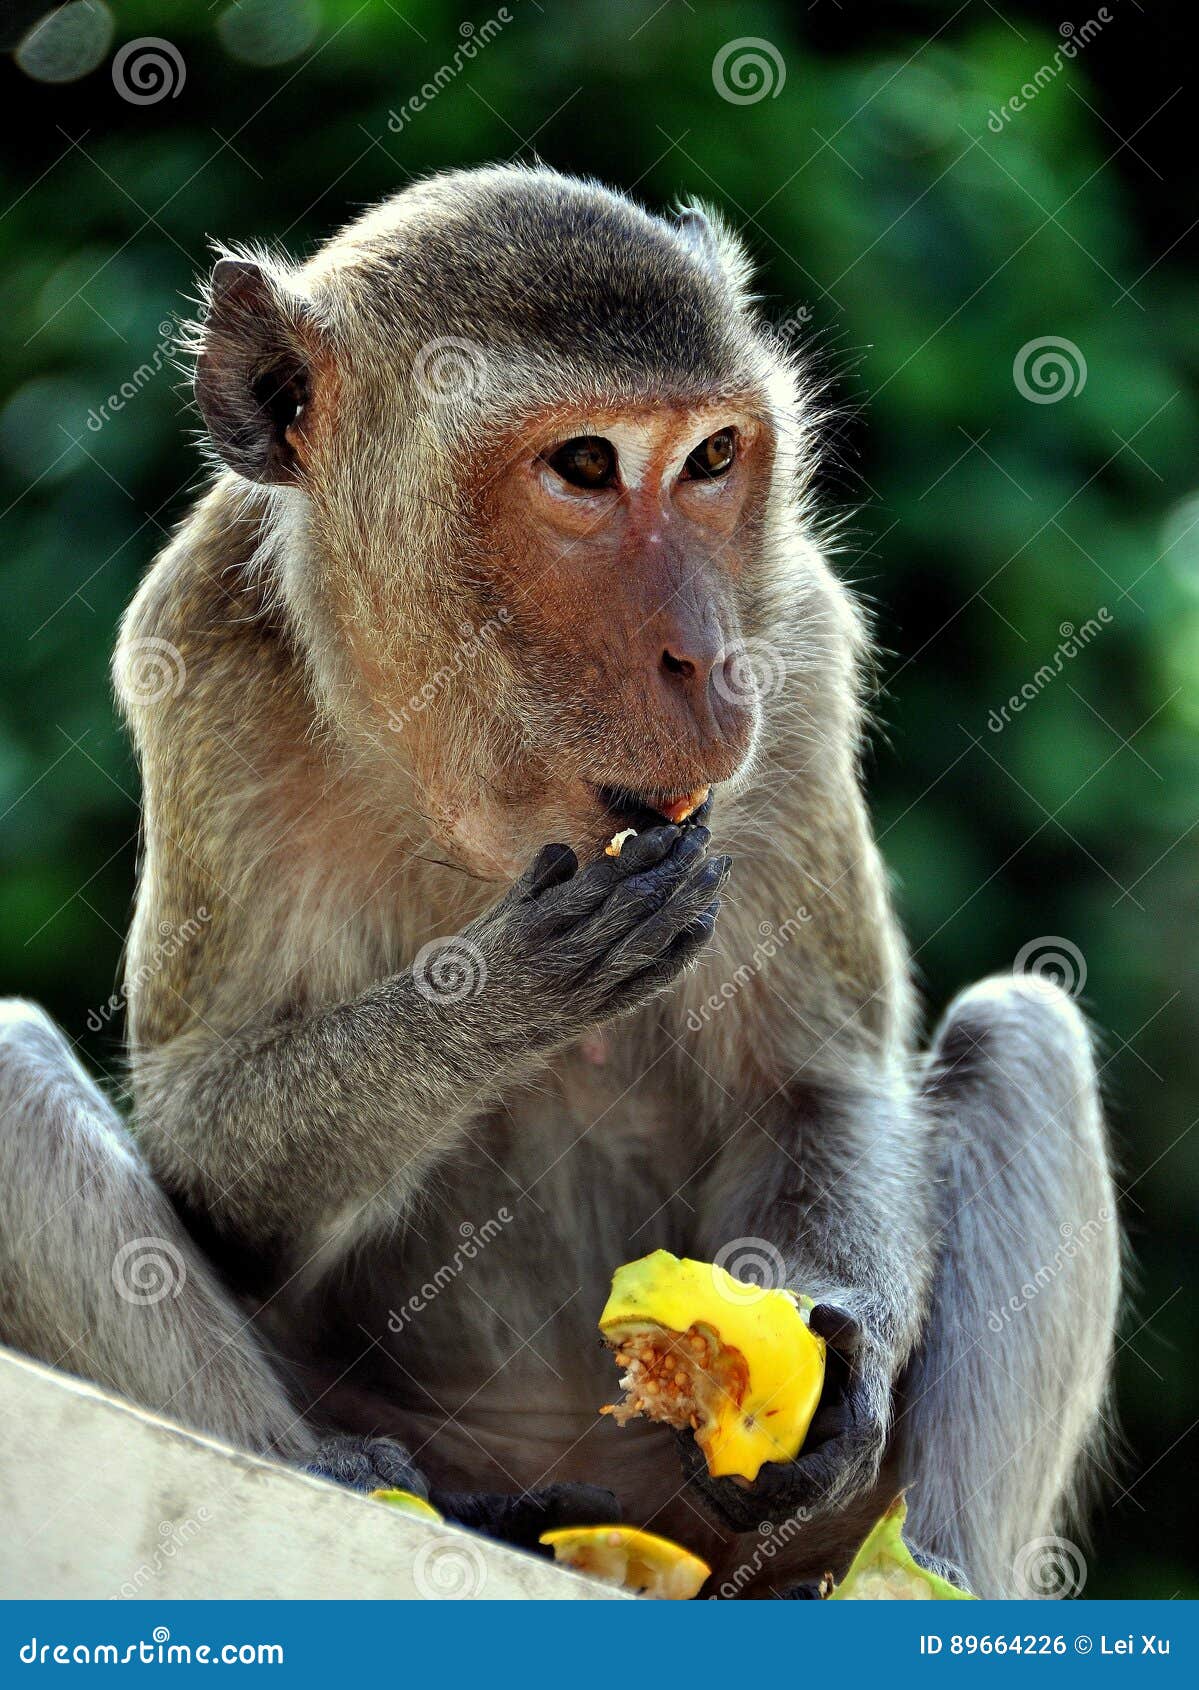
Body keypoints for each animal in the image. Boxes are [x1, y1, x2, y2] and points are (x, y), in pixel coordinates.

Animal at [0, 165, 1119, 1598]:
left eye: (710, 460)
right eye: (584, 465)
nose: (708, 663)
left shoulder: (799, 648)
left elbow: (811, 1078)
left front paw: (848, 1352)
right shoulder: (192, 658)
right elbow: (208, 1164)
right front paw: (494, 1001)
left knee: (1020, 1031)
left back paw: (914, 1576)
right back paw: (361, 1479)